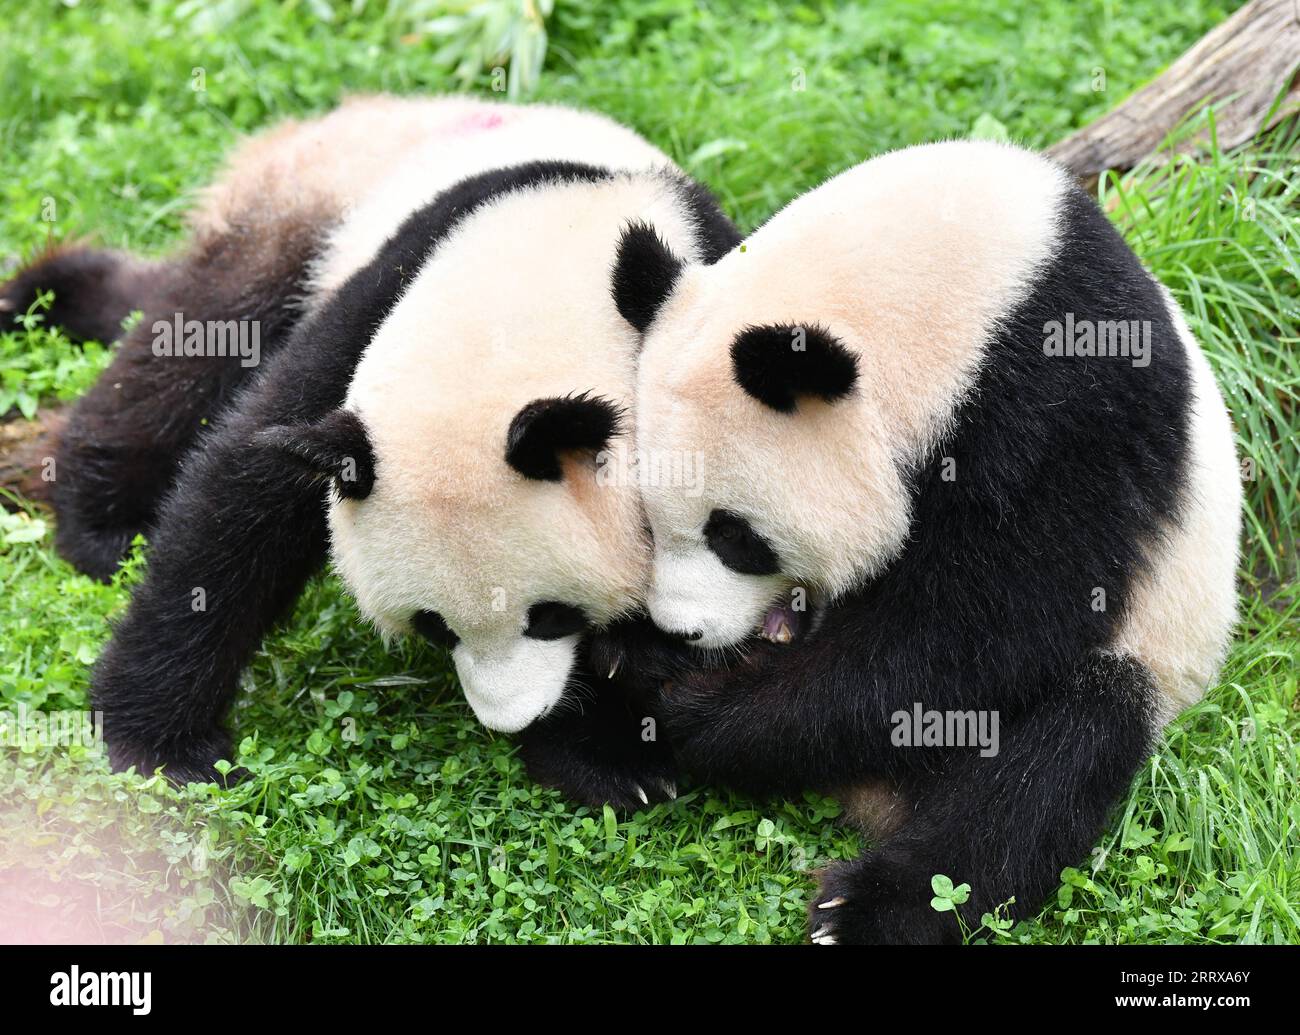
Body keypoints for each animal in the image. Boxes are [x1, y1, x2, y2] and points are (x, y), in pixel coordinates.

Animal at [2, 96, 738, 801]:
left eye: (552, 617)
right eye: (436, 626)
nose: (514, 717)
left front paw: (611, 746)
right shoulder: (377, 302)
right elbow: (244, 493)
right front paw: (161, 746)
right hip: (302, 218)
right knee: (191, 340)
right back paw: (103, 518)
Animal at [608, 139, 1242, 943]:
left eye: (734, 535)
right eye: (649, 518)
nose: (682, 629)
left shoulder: (1063, 404)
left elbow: (986, 623)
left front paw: (707, 709)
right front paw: (643, 658)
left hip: (1156, 643)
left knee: (1056, 758)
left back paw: (866, 908)